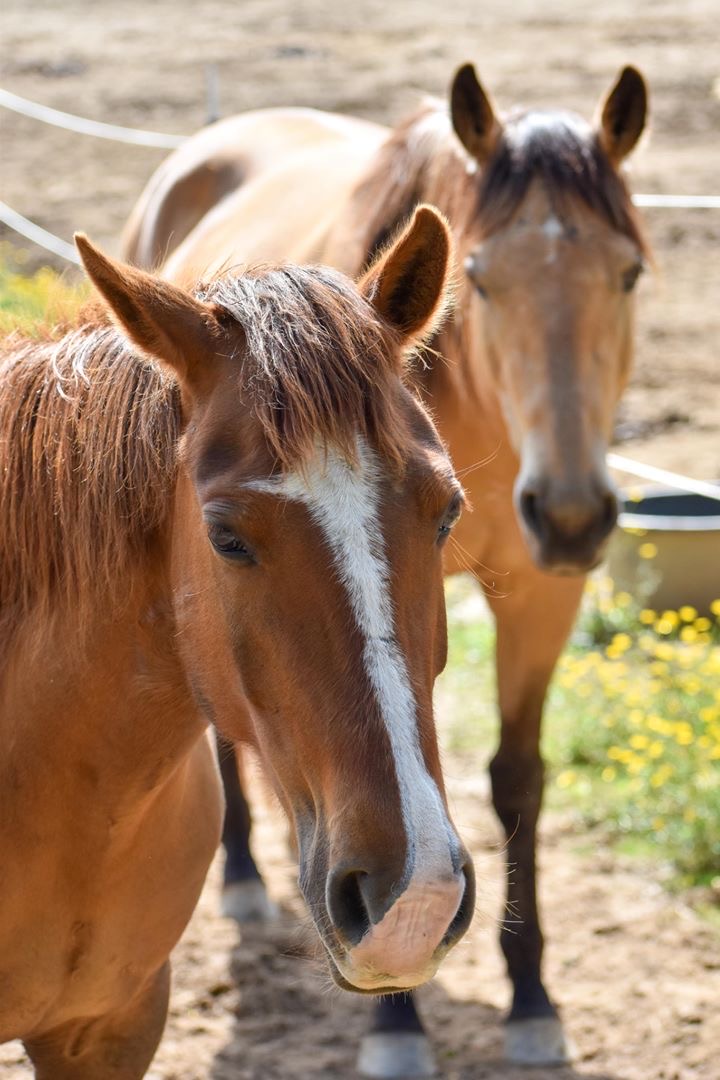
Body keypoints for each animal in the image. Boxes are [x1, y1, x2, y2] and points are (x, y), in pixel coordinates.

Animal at [123, 62, 649, 1076]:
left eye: (630, 271)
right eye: (479, 278)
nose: (570, 512)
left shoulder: (543, 594)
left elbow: (516, 779)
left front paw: (532, 999)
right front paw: (398, 1021)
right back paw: (241, 874)